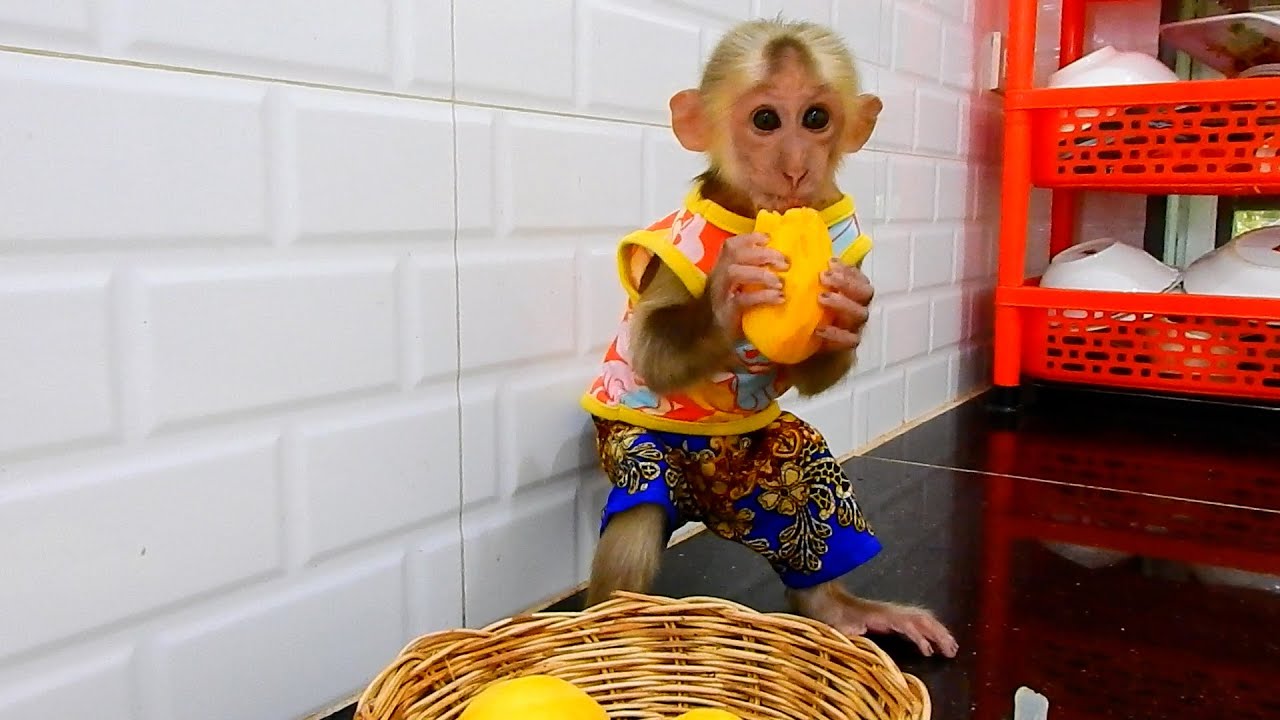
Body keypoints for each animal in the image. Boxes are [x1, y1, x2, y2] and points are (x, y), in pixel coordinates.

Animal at [578, 18, 959, 659]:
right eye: (765, 121)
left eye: (815, 118)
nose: (795, 167)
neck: (753, 209)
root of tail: (713, 502)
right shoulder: (676, 249)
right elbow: (650, 347)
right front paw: (725, 297)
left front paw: (850, 311)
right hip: (640, 452)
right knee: (636, 519)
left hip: (772, 476)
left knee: (810, 490)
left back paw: (838, 609)